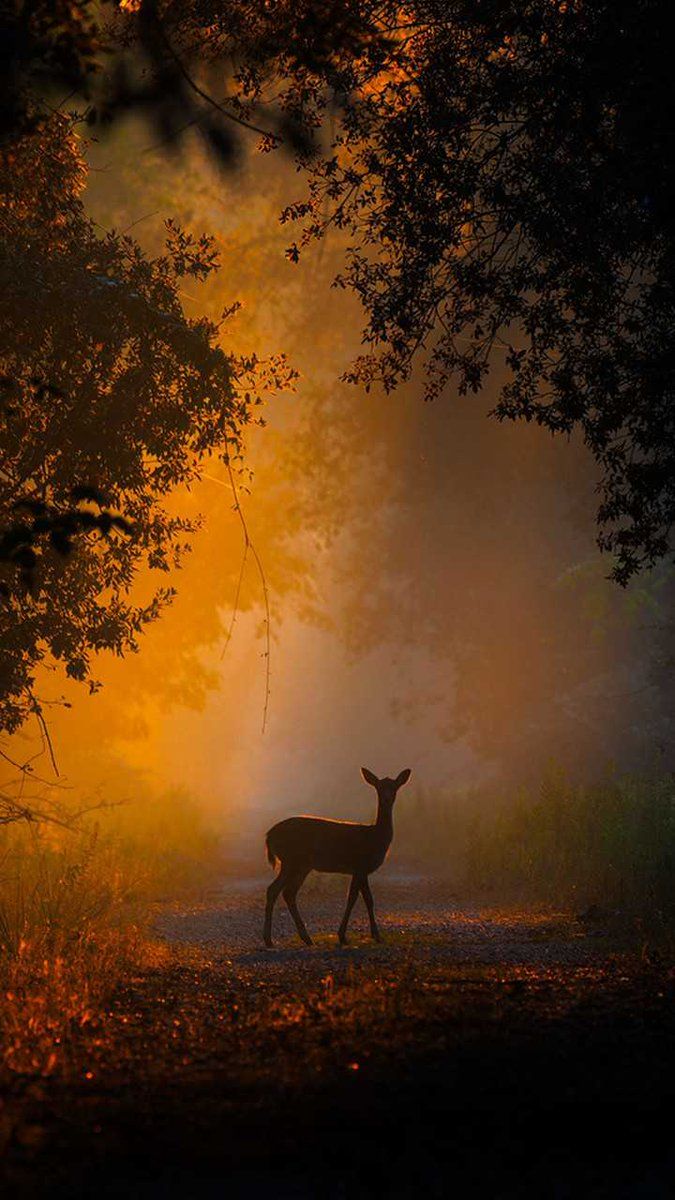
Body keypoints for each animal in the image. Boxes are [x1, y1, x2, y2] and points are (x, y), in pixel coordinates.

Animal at [263, 767, 412, 948]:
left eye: (394, 787)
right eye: (379, 787)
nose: (387, 797)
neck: (375, 838)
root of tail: (269, 836)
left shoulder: (359, 870)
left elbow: (362, 898)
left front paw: (363, 935)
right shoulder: (360, 865)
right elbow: (359, 898)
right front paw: (361, 936)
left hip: (301, 865)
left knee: (287, 892)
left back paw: (305, 938)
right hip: (291, 860)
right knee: (275, 890)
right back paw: (270, 940)